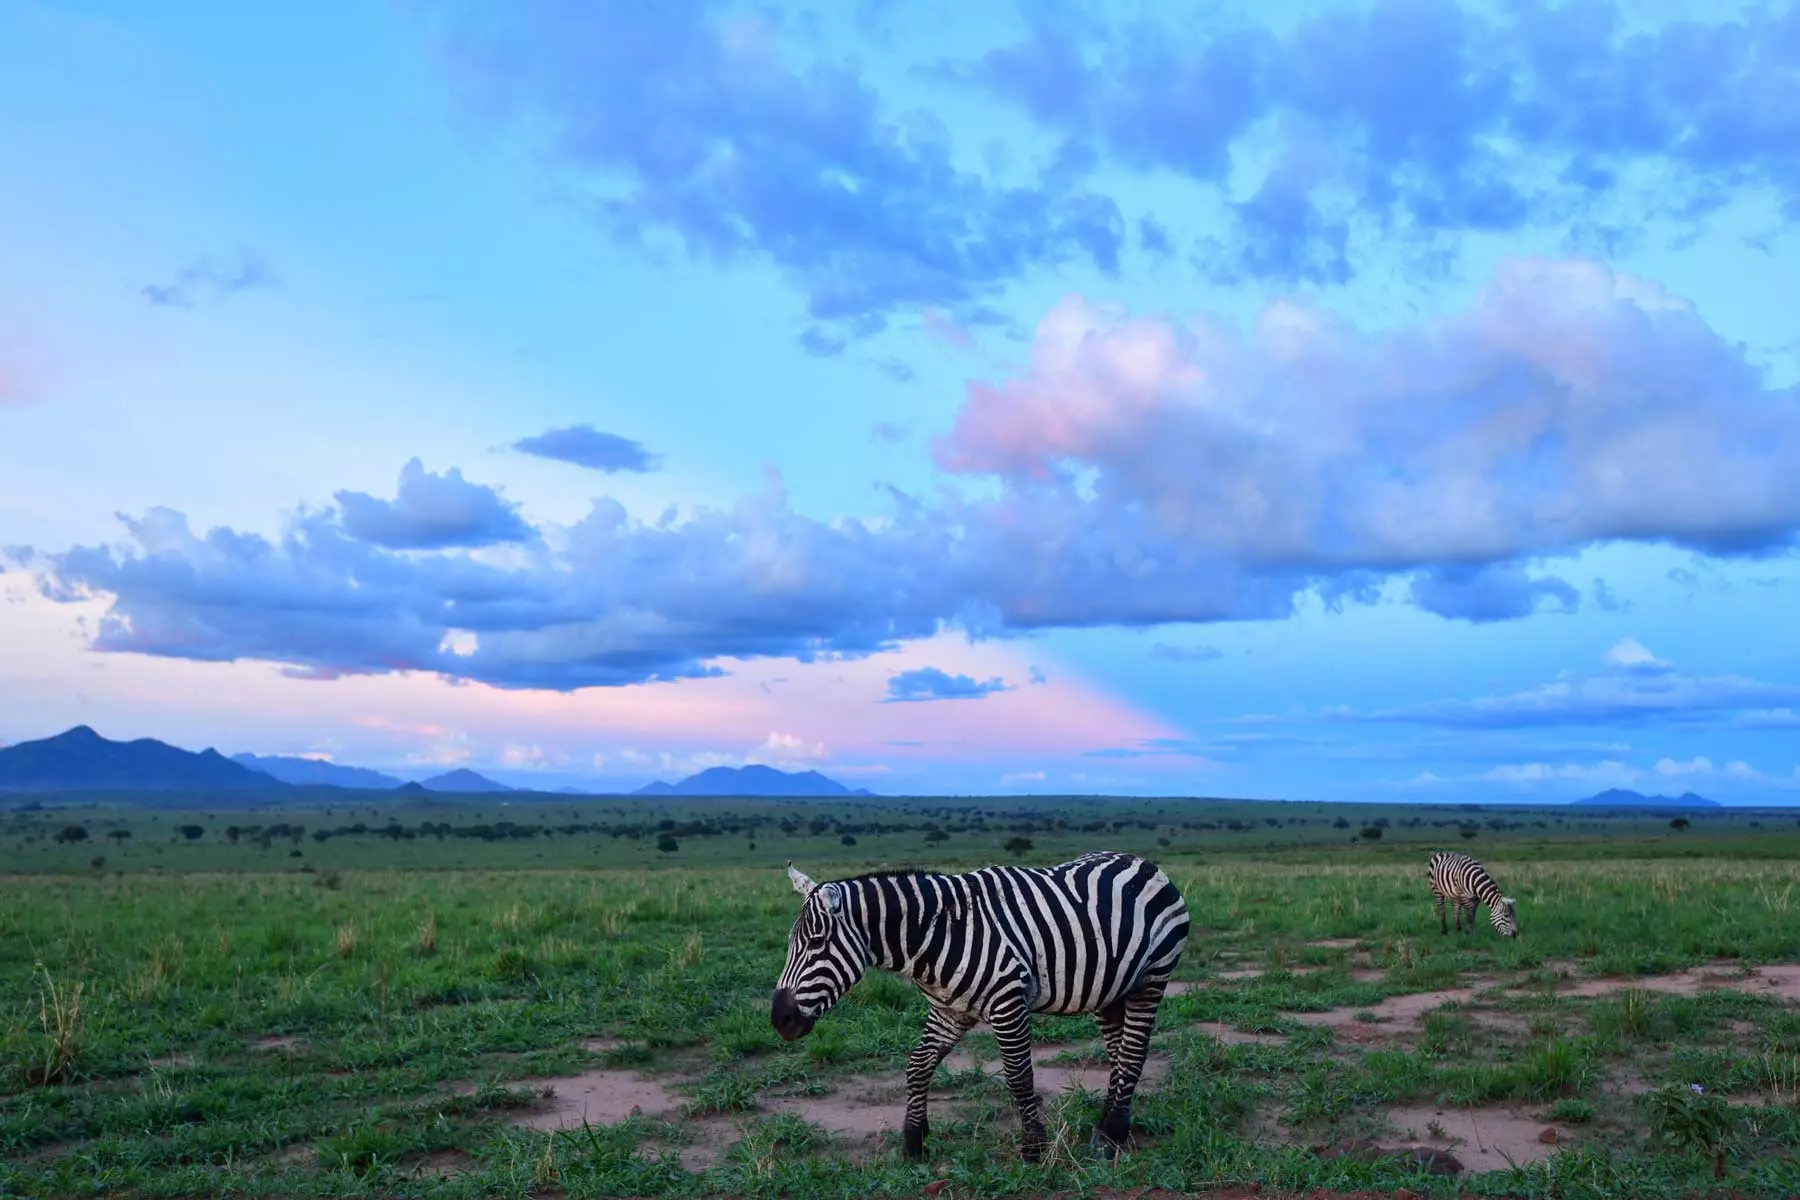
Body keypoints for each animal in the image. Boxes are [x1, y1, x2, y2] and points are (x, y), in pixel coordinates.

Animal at [766, 849, 1188, 1158]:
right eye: (790, 943)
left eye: (816, 943)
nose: (780, 1020)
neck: (937, 934)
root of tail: (1140, 860)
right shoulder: (949, 1011)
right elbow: (917, 1066)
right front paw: (915, 1140)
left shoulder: (1008, 1002)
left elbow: (1019, 1075)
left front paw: (1034, 1147)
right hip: (1111, 988)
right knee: (1118, 1051)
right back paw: (1107, 1123)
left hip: (1152, 977)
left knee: (1132, 1052)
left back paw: (1113, 1133)